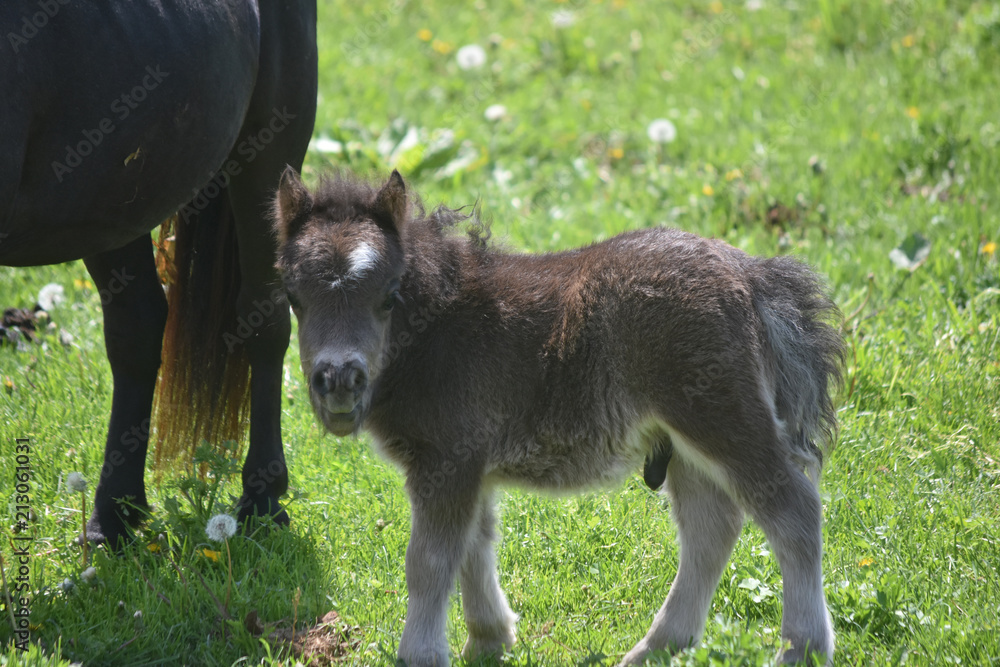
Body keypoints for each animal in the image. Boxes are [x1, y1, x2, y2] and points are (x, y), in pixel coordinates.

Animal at [0, 0, 317, 546]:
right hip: (117, 193)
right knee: (140, 326)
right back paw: (113, 518)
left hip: (268, 154)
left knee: (263, 320)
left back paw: (261, 501)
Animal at [272, 168, 845, 666]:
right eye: (293, 297)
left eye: (388, 296)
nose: (339, 381)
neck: (435, 324)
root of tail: (748, 274)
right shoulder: (470, 464)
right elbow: (475, 545)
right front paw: (490, 639)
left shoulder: (444, 459)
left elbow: (430, 561)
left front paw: (421, 655)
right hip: (685, 443)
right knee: (711, 529)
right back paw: (656, 648)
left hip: (722, 419)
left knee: (792, 512)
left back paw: (802, 649)